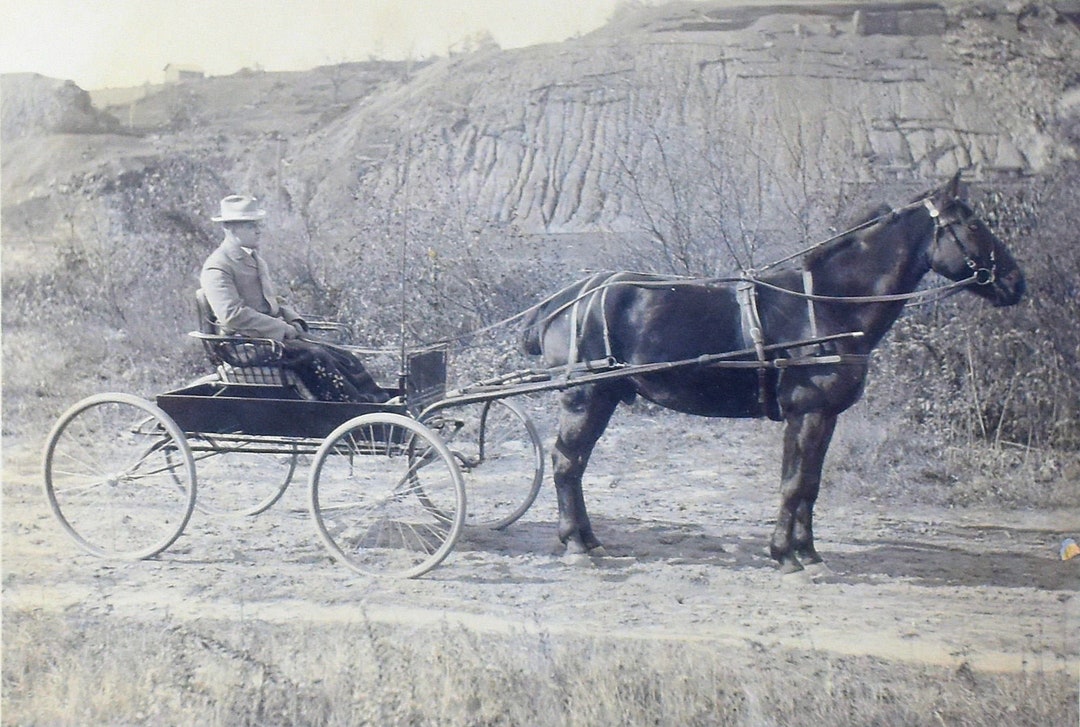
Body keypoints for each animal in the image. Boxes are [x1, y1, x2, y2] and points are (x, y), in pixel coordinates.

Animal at [520, 173, 1025, 576]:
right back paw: (575, 542)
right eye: (973, 224)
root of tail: (561, 300)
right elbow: (794, 483)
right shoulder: (807, 412)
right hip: (585, 398)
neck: (825, 305)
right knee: (566, 462)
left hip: (603, 398)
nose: (1016, 283)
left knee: (575, 464)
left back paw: (588, 539)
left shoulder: (824, 416)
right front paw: (786, 554)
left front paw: (809, 553)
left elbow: (810, 485)